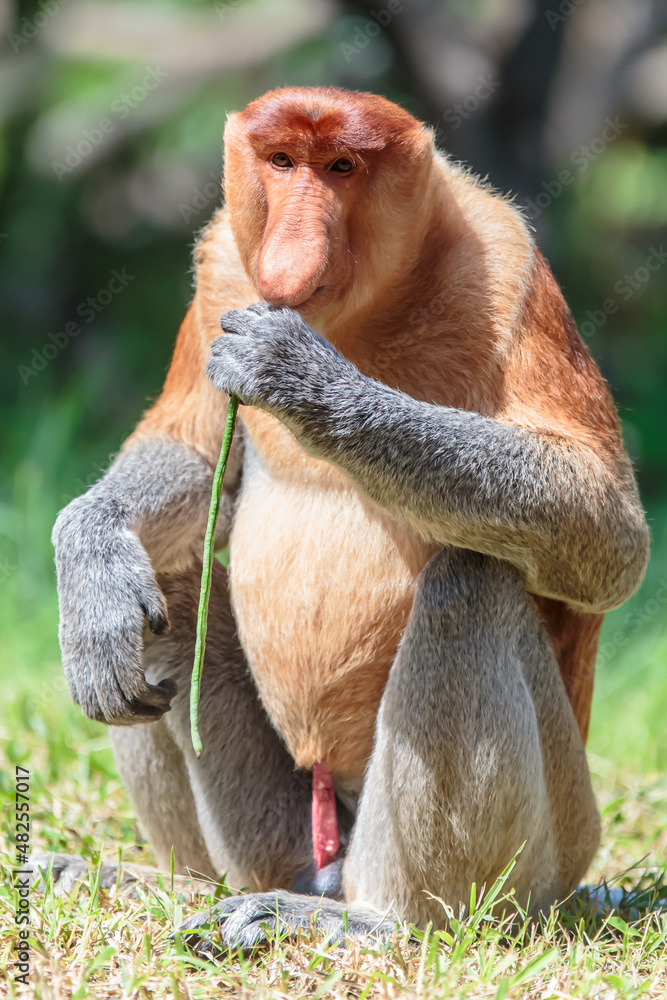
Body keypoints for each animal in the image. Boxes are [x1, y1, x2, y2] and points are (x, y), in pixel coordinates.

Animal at [40, 87, 649, 949]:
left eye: (340, 167)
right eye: (281, 161)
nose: (290, 257)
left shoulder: (509, 266)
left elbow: (604, 527)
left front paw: (301, 377)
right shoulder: (221, 262)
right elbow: (192, 450)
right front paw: (90, 562)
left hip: (560, 837)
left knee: (470, 586)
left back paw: (379, 921)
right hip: (283, 825)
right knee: (165, 584)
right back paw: (170, 878)